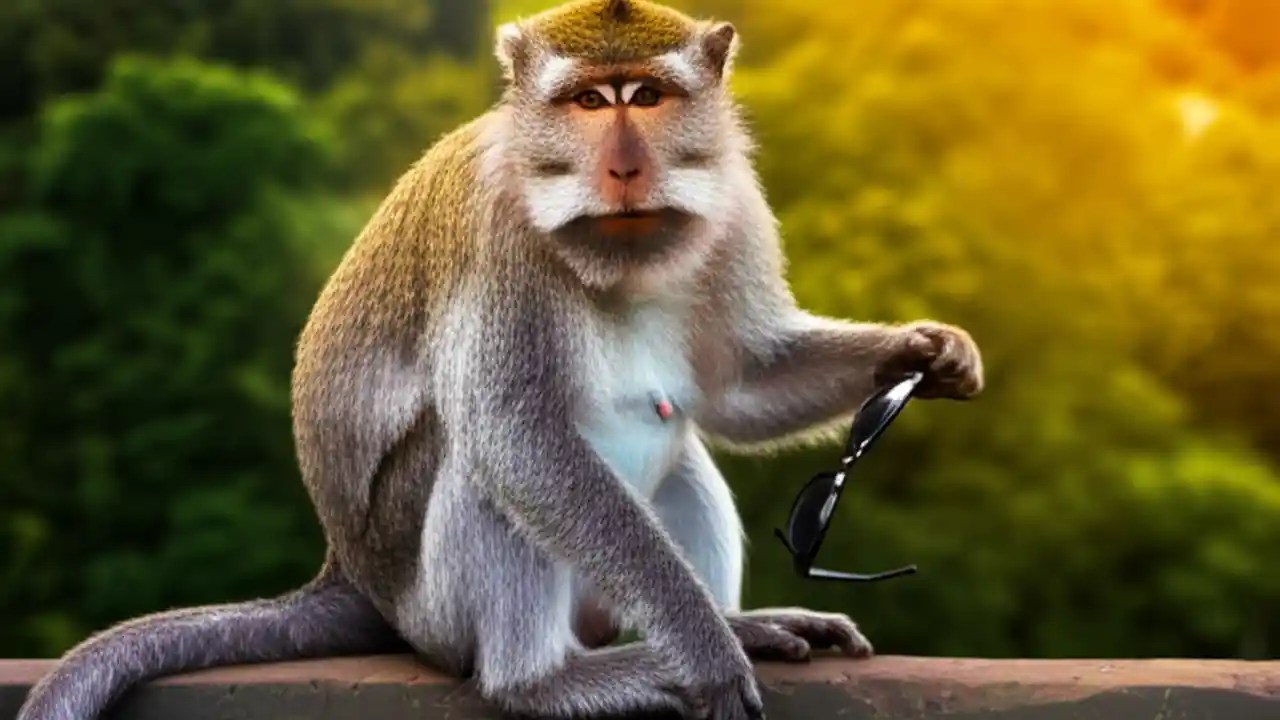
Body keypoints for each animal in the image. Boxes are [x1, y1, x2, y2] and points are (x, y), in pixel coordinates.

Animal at [16, 1, 983, 719]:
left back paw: (735, 623)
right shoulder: (497, 236)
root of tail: (349, 574)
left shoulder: (737, 206)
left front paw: (926, 353)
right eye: (588, 103)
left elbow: (740, 384)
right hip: (434, 604)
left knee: (679, 462)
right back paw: (548, 681)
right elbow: (520, 441)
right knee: (483, 462)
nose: (624, 168)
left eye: (648, 96)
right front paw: (706, 651)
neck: (622, 251)